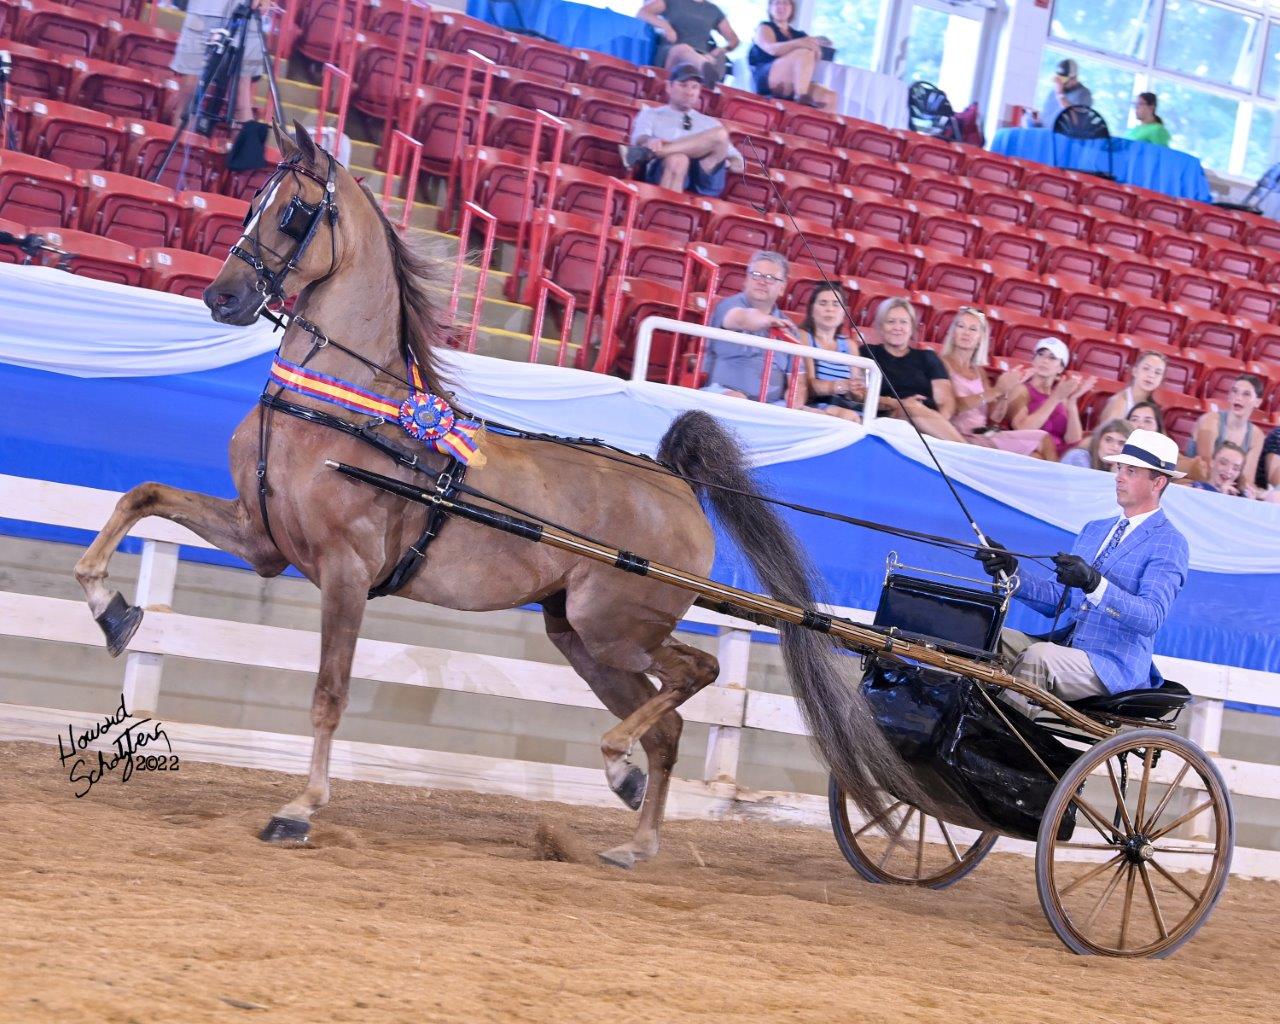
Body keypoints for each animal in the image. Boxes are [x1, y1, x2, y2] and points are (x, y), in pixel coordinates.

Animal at [74, 123, 916, 867]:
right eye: (253, 199)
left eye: (292, 211)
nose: (222, 297)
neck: (343, 408)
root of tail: (672, 481)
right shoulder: (262, 540)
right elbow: (141, 496)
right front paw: (112, 612)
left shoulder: (345, 572)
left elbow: (328, 693)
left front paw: (299, 809)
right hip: (579, 636)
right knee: (668, 727)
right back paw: (635, 838)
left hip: (617, 624)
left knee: (693, 676)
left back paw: (617, 766)